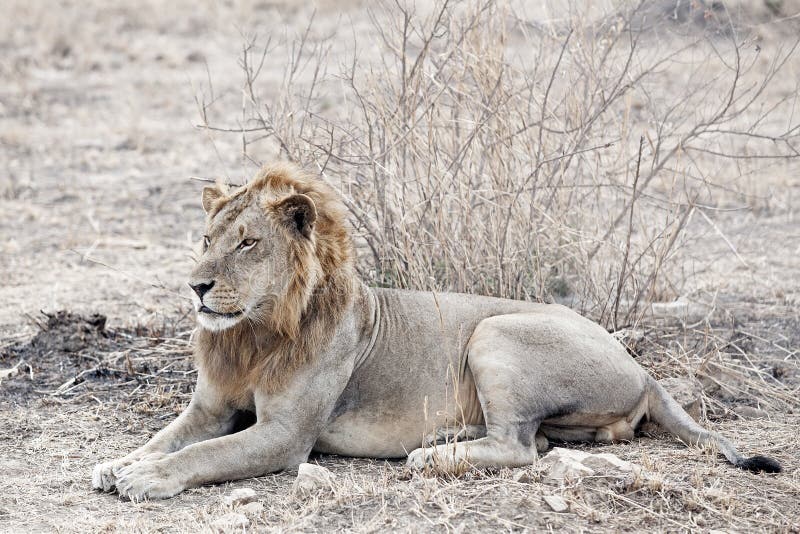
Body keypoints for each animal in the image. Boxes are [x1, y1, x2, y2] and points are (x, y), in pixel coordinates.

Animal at [92, 163, 781, 501]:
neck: (252, 334)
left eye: (248, 244)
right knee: (539, 440)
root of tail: (641, 365)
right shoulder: (209, 408)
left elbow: (203, 455)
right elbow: (165, 438)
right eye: (207, 239)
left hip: (495, 333)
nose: (197, 286)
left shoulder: (286, 436)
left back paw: (431, 455)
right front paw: (120, 464)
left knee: (521, 448)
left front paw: (146, 480)